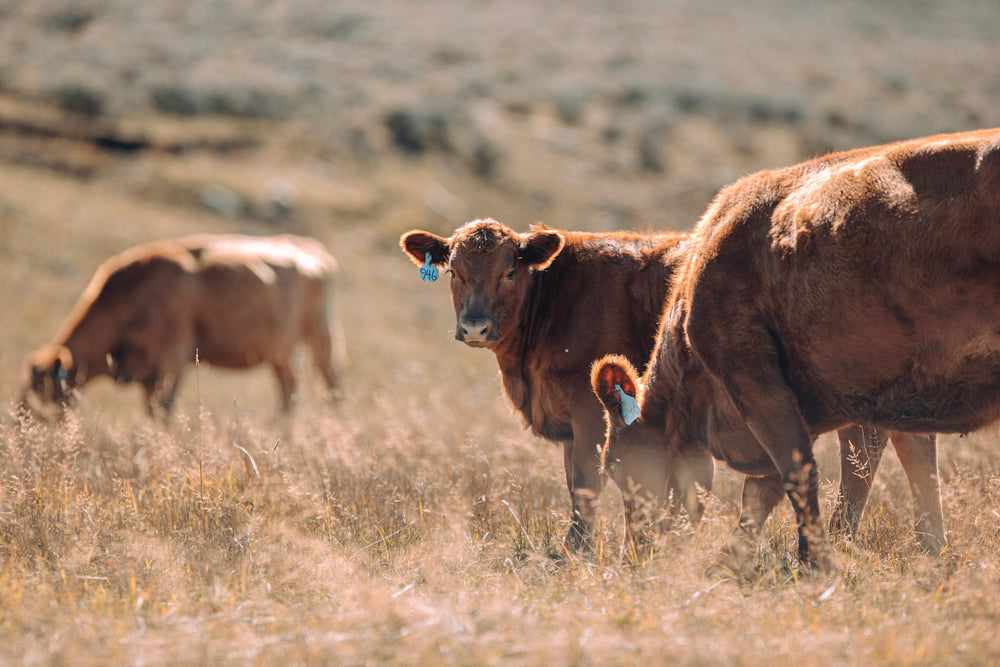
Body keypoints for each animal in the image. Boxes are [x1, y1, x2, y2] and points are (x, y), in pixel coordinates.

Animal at [19, 233, 341, 419]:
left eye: (39, 391)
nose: (22, 423)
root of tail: (312, 248)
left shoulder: (171, 359)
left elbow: (162, 410)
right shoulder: (146, 374)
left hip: (320, 335)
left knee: (331, 382)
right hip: (279, 351)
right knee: (289, 389)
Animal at [402, 219, 944, 554]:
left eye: (510, 270)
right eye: (454, 271)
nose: (474, 326)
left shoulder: (590, 411)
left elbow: (588, 484)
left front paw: (578, 552)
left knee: (868, 454)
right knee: (893, 446)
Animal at [592, 128, 1000, 568]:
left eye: (612, 467)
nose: (633, 555)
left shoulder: (754, 379)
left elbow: (798, 475)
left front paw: (813, 563)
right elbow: (772, 490)